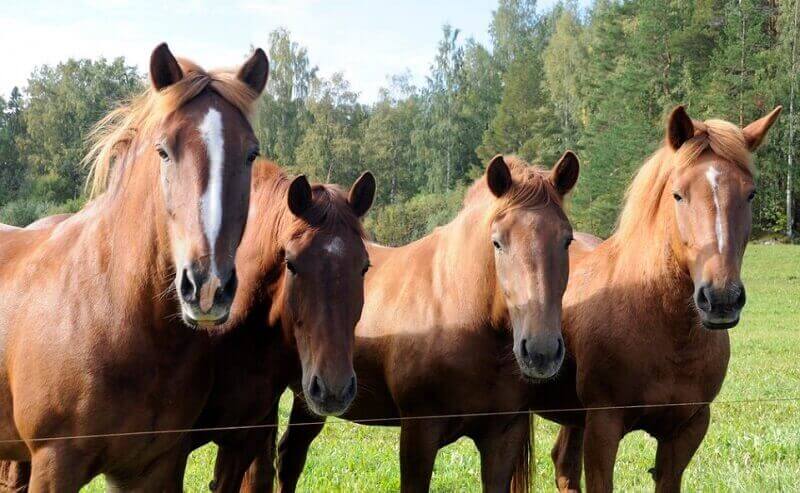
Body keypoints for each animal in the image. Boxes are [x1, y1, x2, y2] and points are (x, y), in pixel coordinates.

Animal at [273, 152, 580, 493]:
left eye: (567, 240)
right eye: (498, 242)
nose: (541, 351)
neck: (458, 310)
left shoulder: (502, 436)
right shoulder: (420, 433)